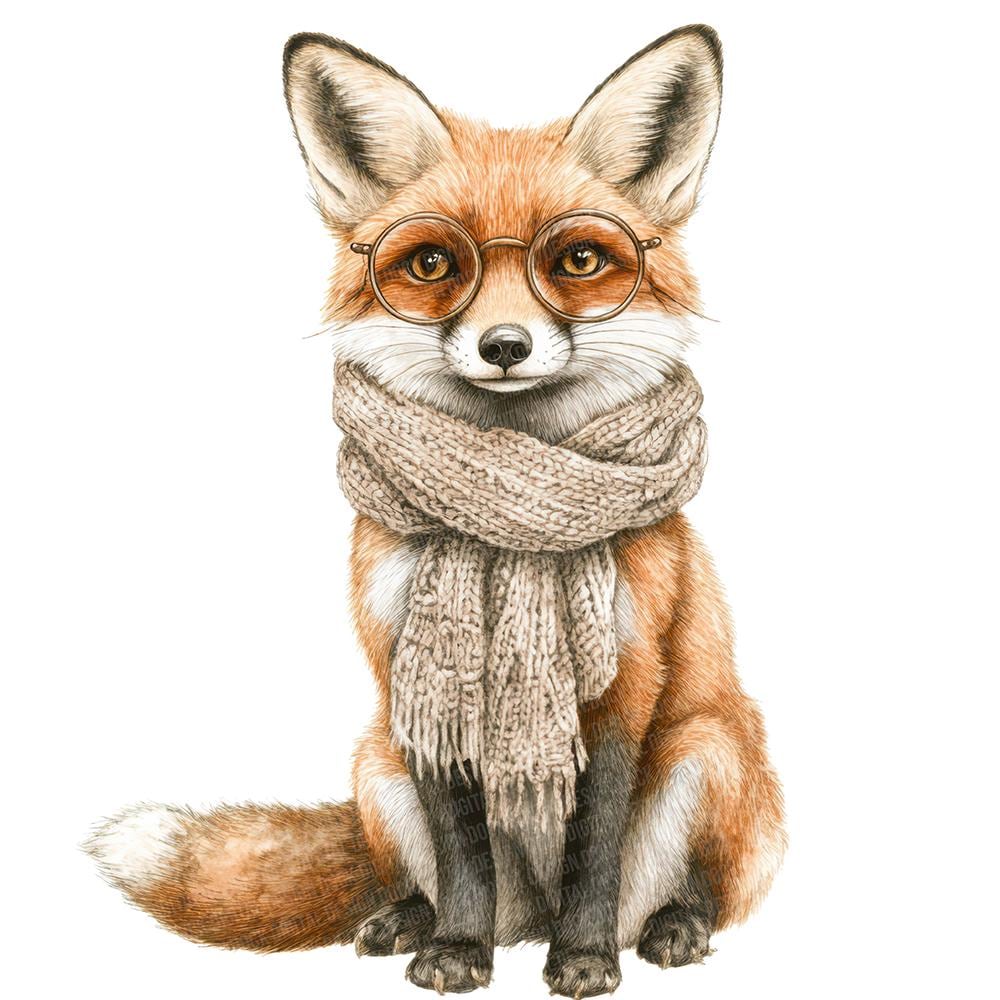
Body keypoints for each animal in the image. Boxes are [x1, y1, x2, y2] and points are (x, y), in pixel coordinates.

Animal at [86, 25, 786, 999]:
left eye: (577, 261)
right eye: (430, 264)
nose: (505, 345)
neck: (513, 504)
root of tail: (527, 917)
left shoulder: (627, 674)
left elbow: (596, 845)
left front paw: (585, 958)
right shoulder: (413, 677)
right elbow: (461, 853)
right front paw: (455, 947)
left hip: (707, 748)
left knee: (693, 892)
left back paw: (666, 928)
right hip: (375, 759)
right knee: (441, 878)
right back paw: (407, 920)